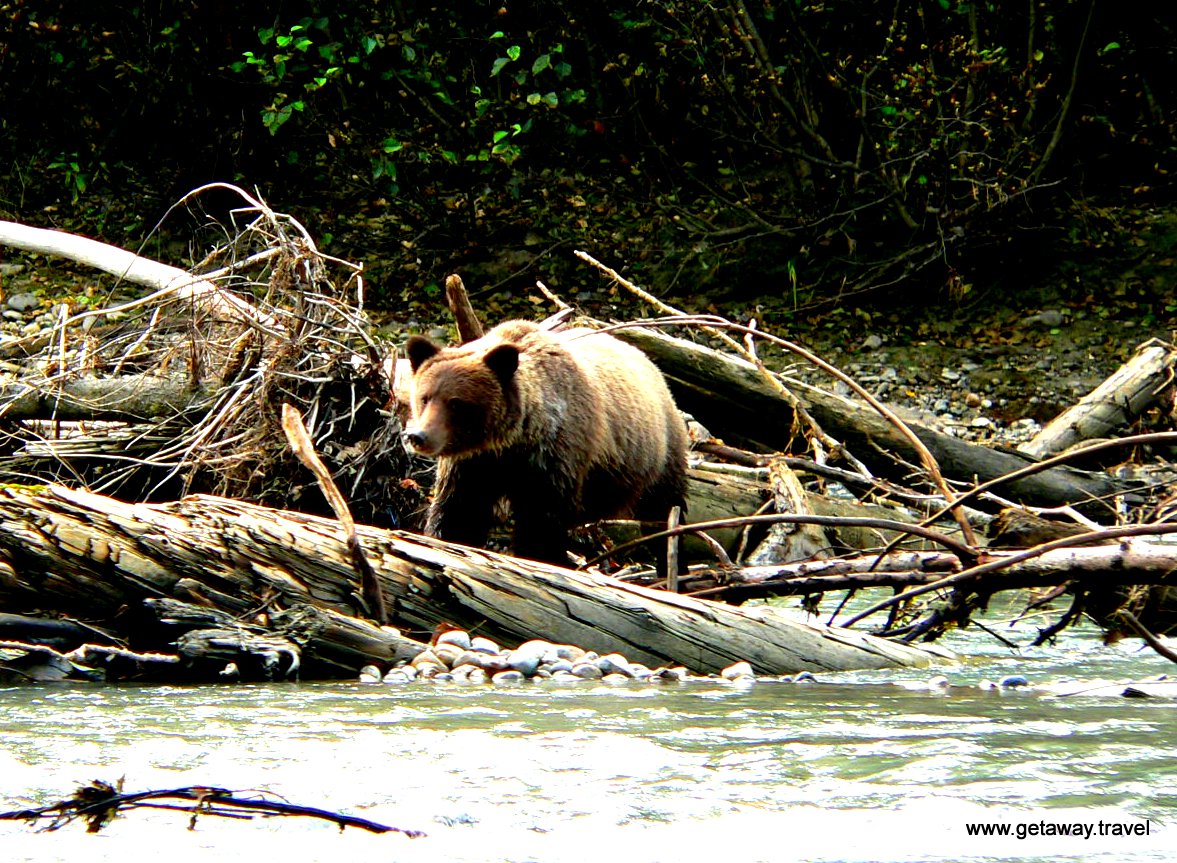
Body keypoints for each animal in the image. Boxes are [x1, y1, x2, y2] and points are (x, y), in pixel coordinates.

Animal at [401, 320, 689, 570]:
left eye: (456, 403)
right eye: (425, 397)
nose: (419, 436)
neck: (510, 442)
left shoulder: (552, 460)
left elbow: (540, 523)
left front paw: (540, 557)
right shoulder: (473, 465)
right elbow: (459, 511)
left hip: (658, 454)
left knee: (664, 510)